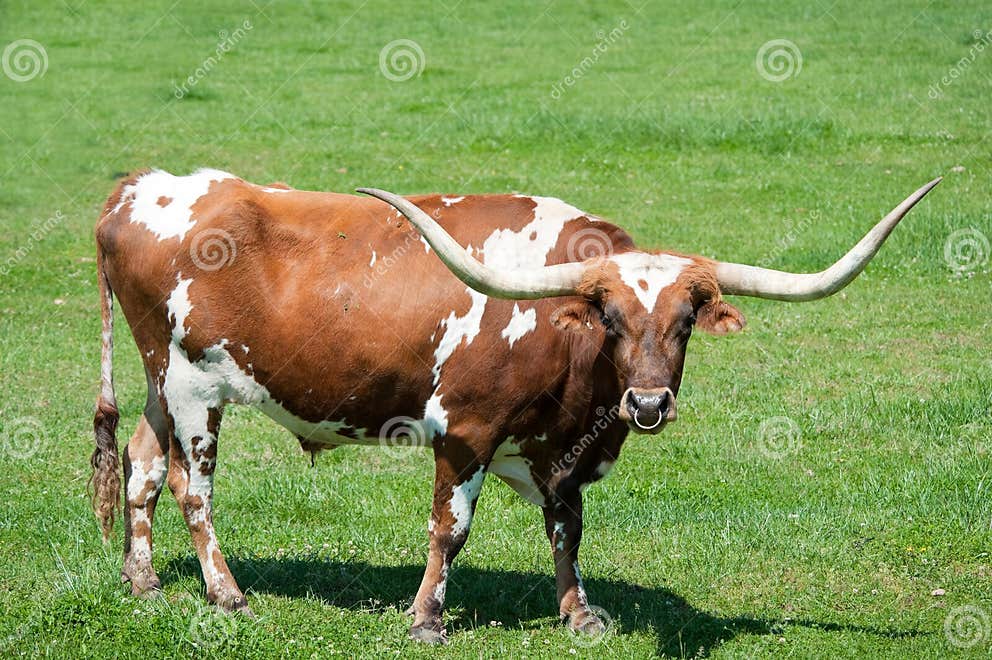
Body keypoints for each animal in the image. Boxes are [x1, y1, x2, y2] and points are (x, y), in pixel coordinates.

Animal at [89, 168, 939, 643]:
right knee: (193, 488)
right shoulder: (463, 430)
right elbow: (450, 530)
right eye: (610, 318)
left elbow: (568, 529)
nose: (648, 400)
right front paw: (426, 619)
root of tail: (137, 189)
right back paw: (226, 594)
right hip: (195, 388)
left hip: (159, 380)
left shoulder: (562, 449)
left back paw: (142, 580)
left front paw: (578, 614)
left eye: (686, 321)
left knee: (141, 467)